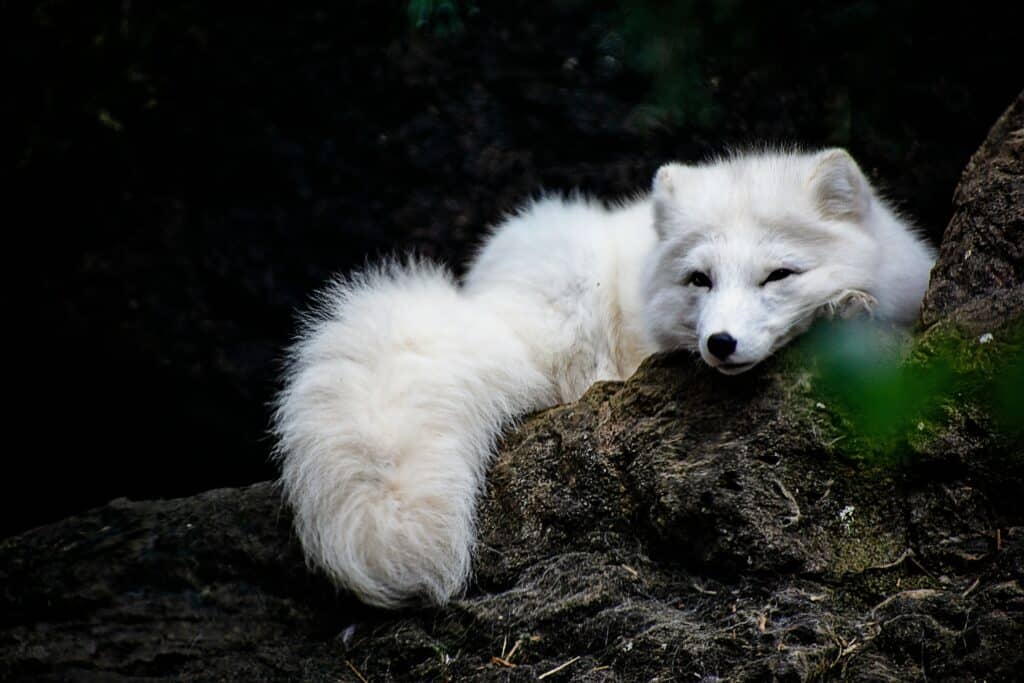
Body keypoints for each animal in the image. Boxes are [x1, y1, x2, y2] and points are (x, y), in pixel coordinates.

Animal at [273, 149, 936, 608]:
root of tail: (489, 299)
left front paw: (846, 305)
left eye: (778, 275)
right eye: (700, 279)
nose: (719, 344)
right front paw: (841, 309)